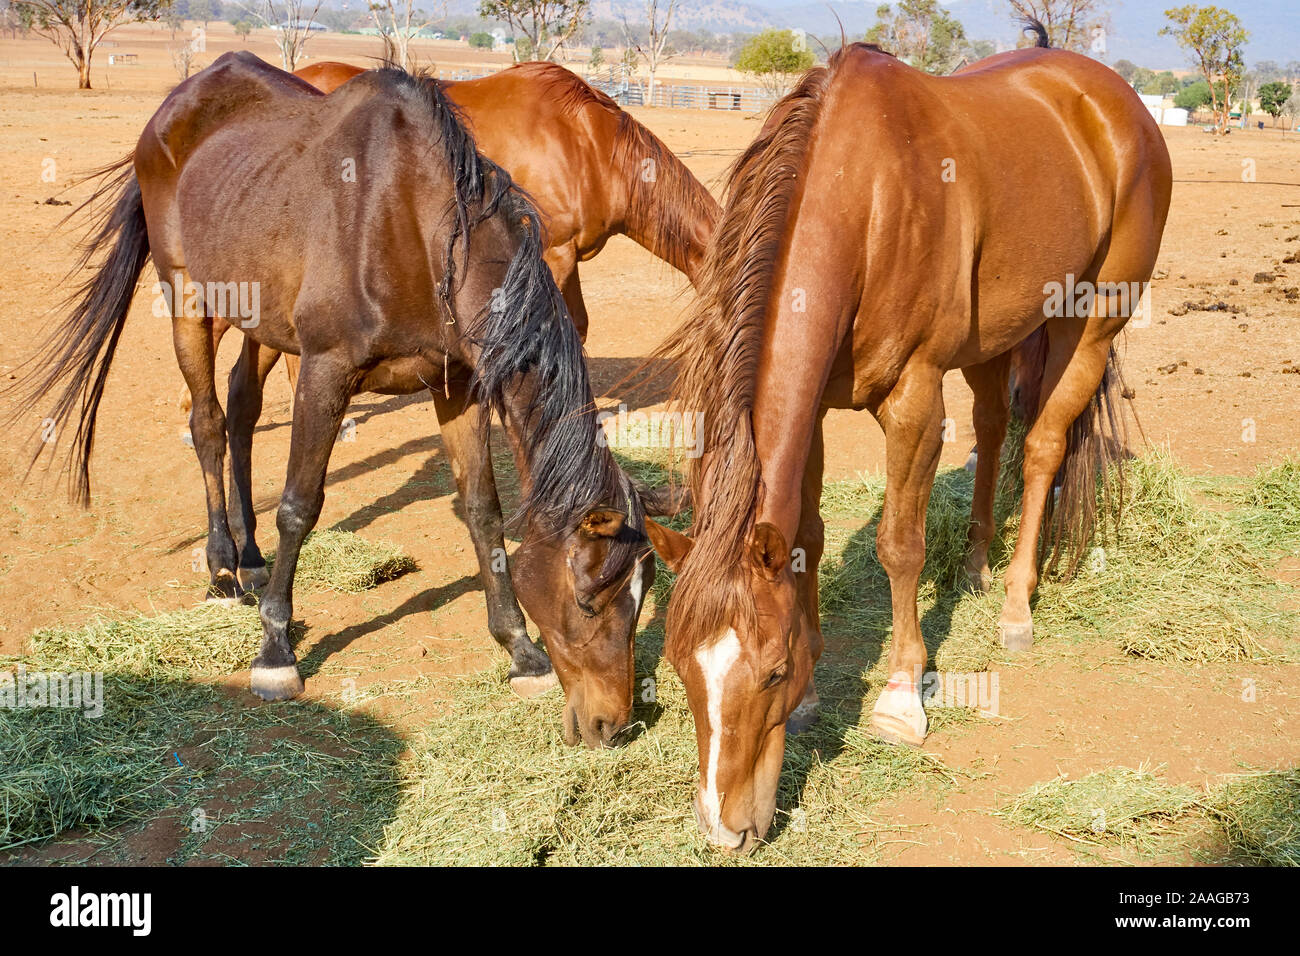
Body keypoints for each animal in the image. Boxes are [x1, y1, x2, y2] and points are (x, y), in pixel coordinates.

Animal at [10, 52, 676, 748]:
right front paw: (276, 651)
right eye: (590, 598)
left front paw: (520, 650)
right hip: (189, 299)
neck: (413, 226)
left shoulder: (456, 386)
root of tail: (177, 101)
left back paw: (250, 562)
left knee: (242, 411)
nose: (612, 724)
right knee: (208, 423)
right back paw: (222, 568)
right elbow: (299, 506)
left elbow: (483, 511)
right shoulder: (325, 371)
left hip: (258, 322)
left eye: (641, 595)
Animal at [647, 37, 1172, 850]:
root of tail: (1116, 101)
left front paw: (900, 698)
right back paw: (979, 566)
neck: (867, 200)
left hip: (1092, 320)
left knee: (1043, 446)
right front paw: (816, 694)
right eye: (678, 667)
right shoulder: (818, 408)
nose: (726, 830)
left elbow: (899, 545)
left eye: (769, 672)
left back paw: (1016, 606)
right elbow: (808, 534)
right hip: (1001, 334)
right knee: (994, 428)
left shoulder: (915, 400)